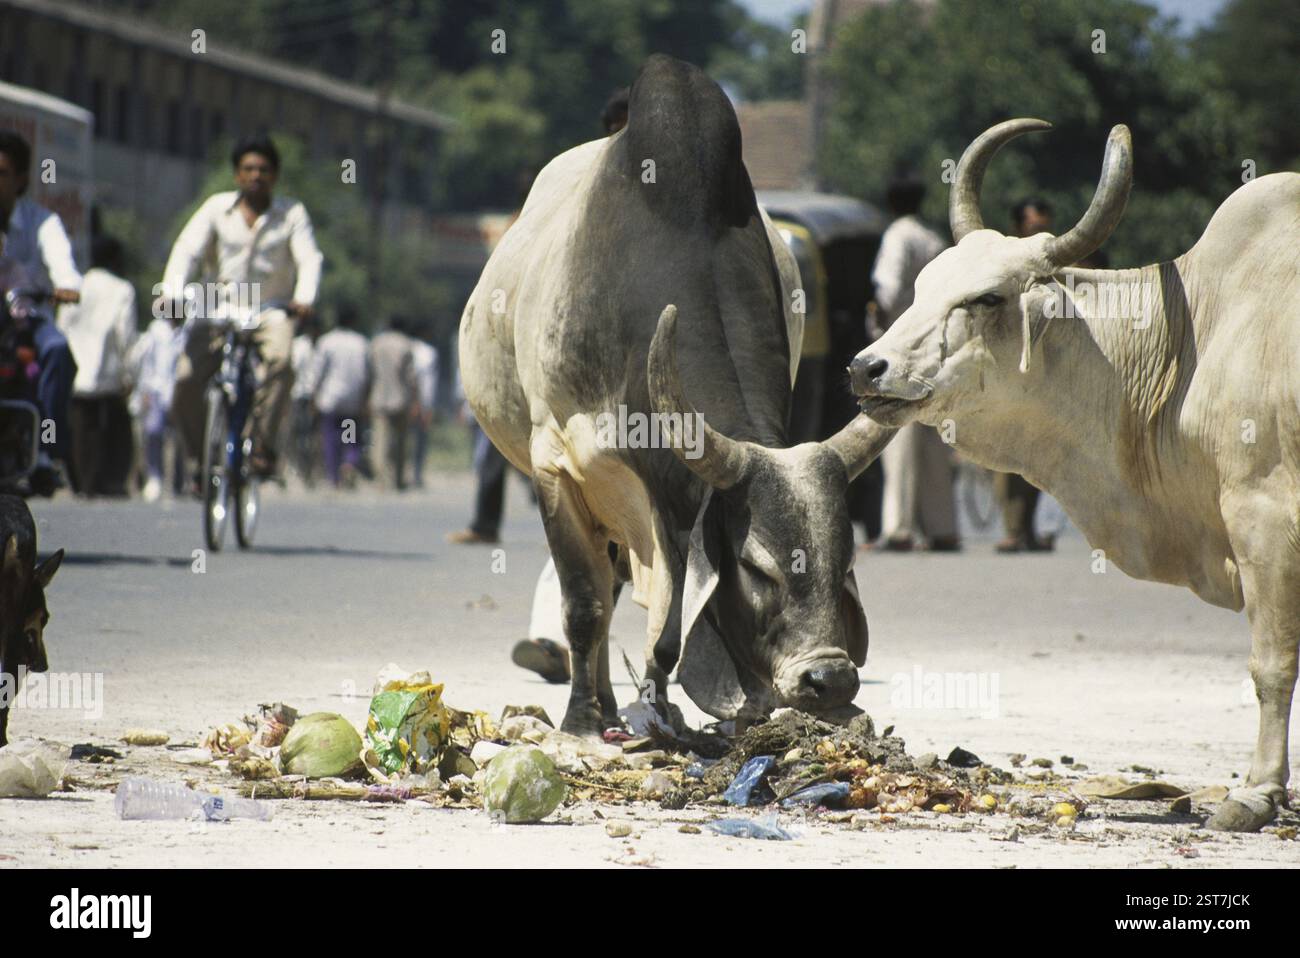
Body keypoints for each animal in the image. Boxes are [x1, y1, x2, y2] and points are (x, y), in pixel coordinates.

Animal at [459, 55, 893, 737]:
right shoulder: (556, 468)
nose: (829, 679)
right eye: (757, 568)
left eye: (845, 560)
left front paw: (664, 712)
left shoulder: (671, 511)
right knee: (599, 598)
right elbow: (584, 605)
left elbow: (665, 630)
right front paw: (582, 721)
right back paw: (601, 705)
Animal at [849, 117, 1300, 831]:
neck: (1194, 341)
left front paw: (1257, 792)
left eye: (987, 298)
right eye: (919, 287)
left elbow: (1272, 663)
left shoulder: (1264, 514)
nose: (868, 367)